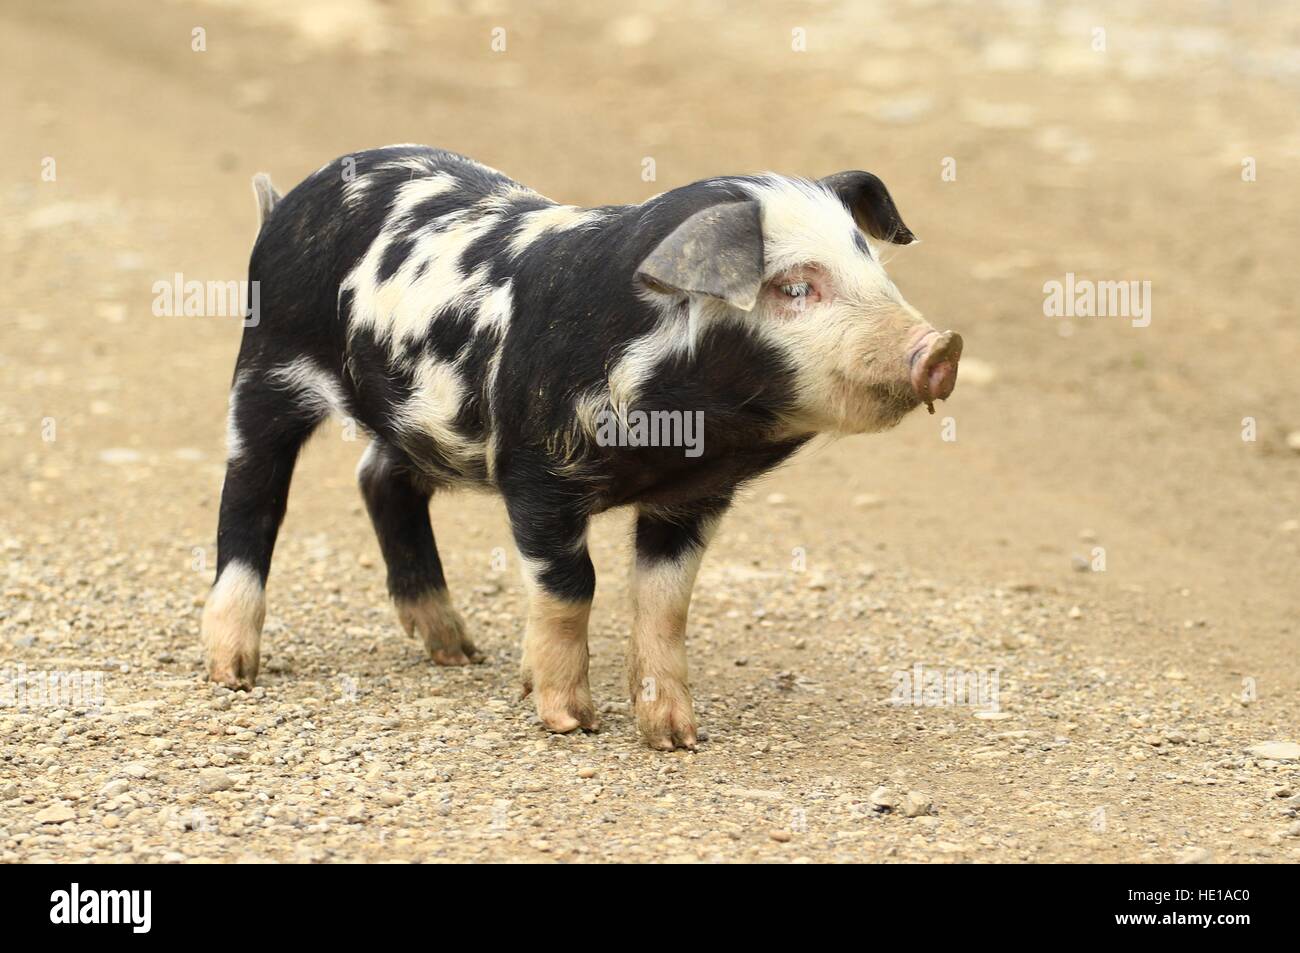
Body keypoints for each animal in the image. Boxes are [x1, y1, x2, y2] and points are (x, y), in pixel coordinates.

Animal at [202, 145, 961, 750]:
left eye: (876, 267)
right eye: (794, 286)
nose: (941, 348)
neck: (683, 432)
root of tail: (288, 204)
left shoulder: (694, 497)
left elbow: (664, 604)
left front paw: (677, 737)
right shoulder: (536, 472)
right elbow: (572, 586)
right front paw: (570, 720)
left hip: (415, 420)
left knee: (380, 479)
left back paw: (458, 651)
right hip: (266, 366)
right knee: (250, 498)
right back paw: (232, 672)